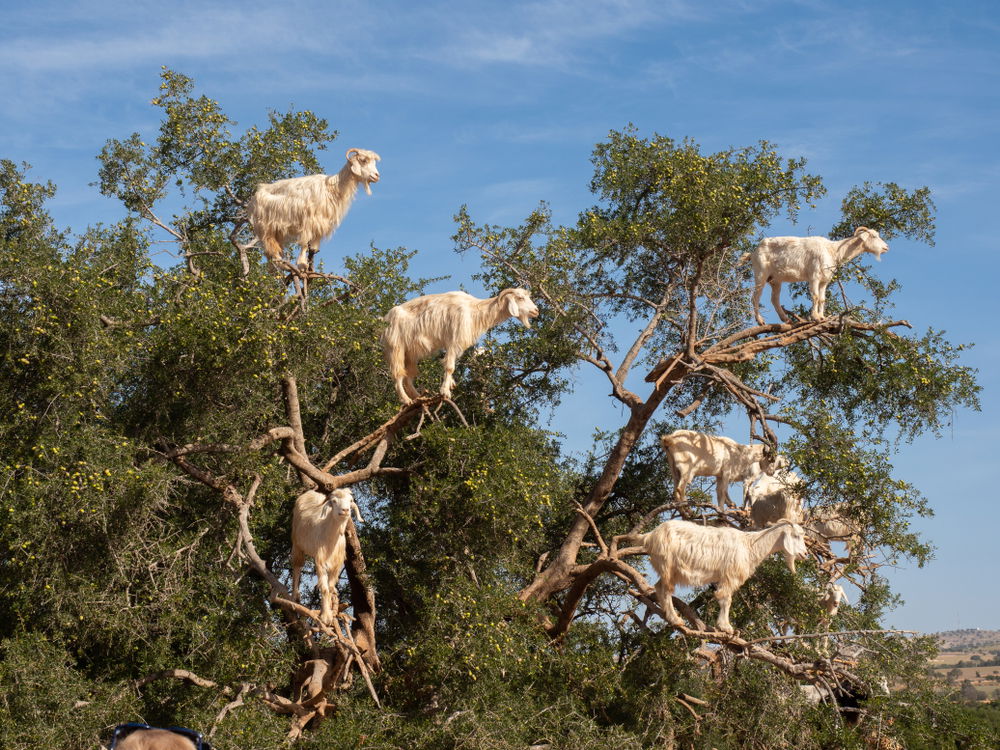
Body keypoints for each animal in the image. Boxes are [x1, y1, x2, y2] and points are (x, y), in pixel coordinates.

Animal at [247, 148, 381, 272]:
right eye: (363, 160)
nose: (376, 176)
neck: (333, 188)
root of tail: (255, 197)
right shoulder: (308, 221)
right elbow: (304, 243)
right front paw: (302, 264)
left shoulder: (320, 223)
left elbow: (314, 245)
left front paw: (311, 262)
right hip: (265, 226)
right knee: (270, 245)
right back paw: (281, 264)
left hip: (277, 230)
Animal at [291, 488, 356, 625]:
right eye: (334, 501)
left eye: (350, 500)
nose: (345, 510)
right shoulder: (320, 561)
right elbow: (325, 589)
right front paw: (325, 617)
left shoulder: (336, 565)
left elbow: (330, 588)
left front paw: (329, 612)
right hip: (297, 544)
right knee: (297, 567)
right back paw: (294, 597)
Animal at [380, 288, 539, 404]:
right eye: (520, 298)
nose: (536, 310)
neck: (474, 310)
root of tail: (386, 320)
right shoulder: (454, 340)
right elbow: (450, 366)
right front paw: (445, 392)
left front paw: (450, 385)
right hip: (396, 348)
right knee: (398, 375)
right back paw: (406, 400)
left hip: (411, 353)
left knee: (409, 377)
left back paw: (419, 397)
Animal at [638, 520, 808, 633]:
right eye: (795, 536)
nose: (805, 554)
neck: (750, 545)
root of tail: (651, 536)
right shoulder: (730, 576)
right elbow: (725, 599)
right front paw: (725, 627)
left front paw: (723, 626)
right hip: (667, 565)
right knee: (666, 589)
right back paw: (676, 619)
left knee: (659, 586)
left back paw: (669, 616)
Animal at [742, 226, 889, 324]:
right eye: (874, 236)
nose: (886, 247)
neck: (833, 251)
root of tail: (753, 253)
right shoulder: (814, 277)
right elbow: (815, 296)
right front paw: (815, 317)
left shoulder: (824, 280)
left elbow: (822, 298)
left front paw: (822, 317)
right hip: (761, 274)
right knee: (755, 297)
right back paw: (760, 321)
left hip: (775, 280)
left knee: (774, 299)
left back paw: (786, 319)